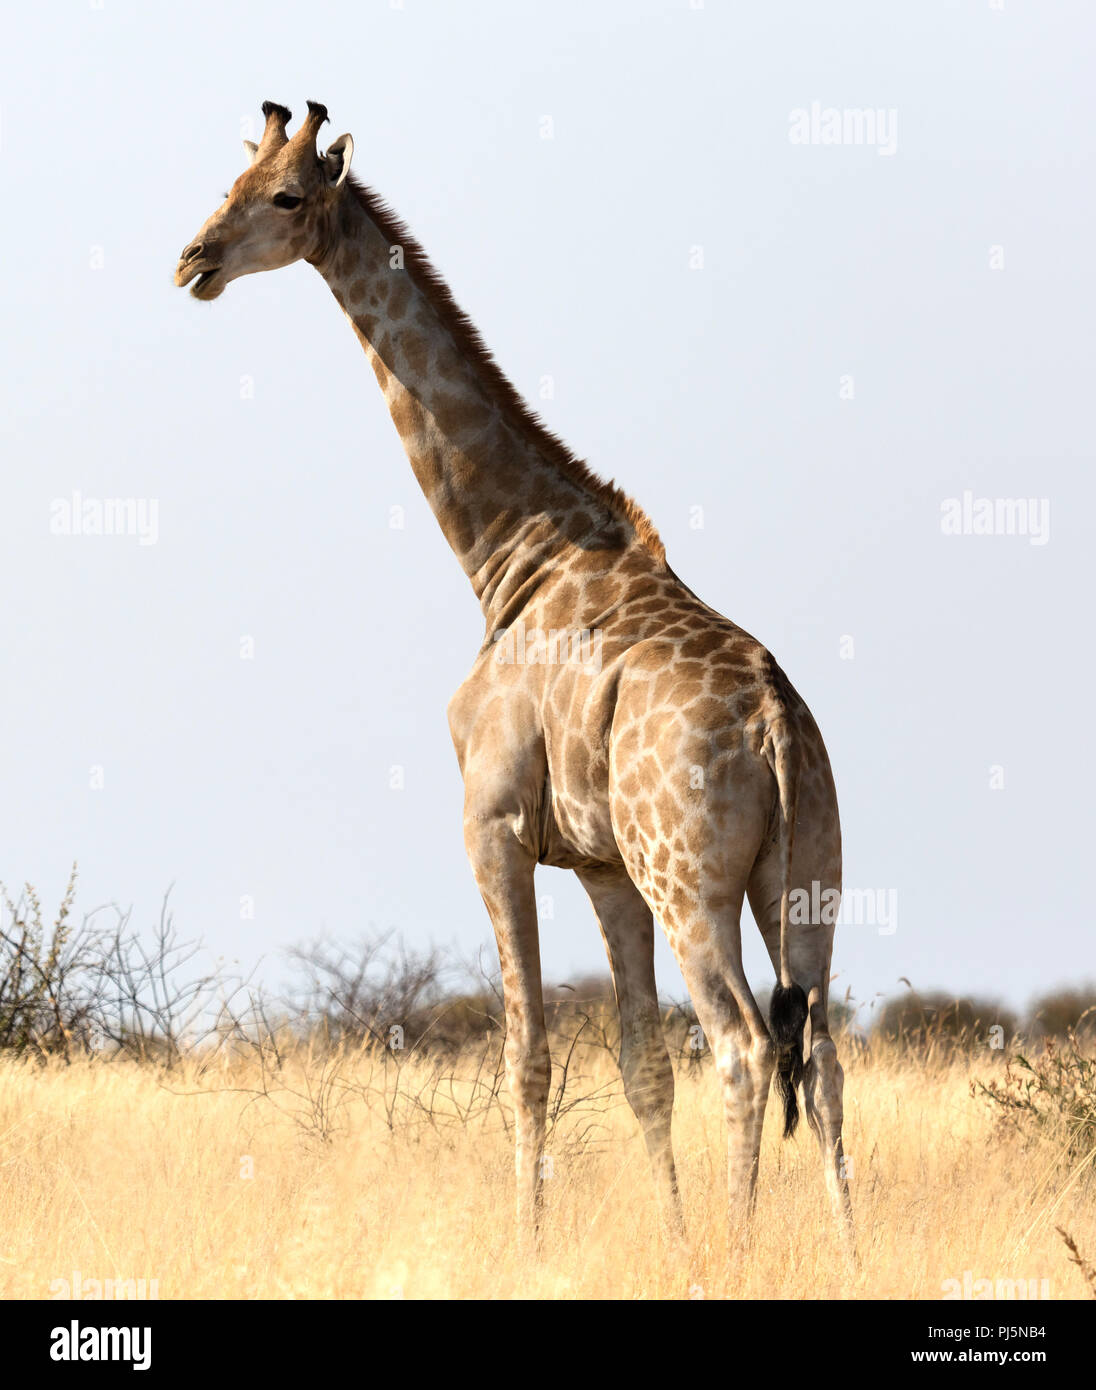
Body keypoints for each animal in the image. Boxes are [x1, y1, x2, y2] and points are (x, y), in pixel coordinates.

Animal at [175, 101, 854, 1247]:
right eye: (227, 183)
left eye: (286, 197)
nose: (193, 262)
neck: (509, 554)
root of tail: (772, 720)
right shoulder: (602, 866)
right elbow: (637, 1065)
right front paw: (668, 1238)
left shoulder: (490, 824)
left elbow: (528, 1053)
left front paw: (533, 1243)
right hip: (805, 882)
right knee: (824, 1050)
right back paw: (847, 1250)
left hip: (694, 881)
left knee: (744, 1043)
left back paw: (741, 1245)